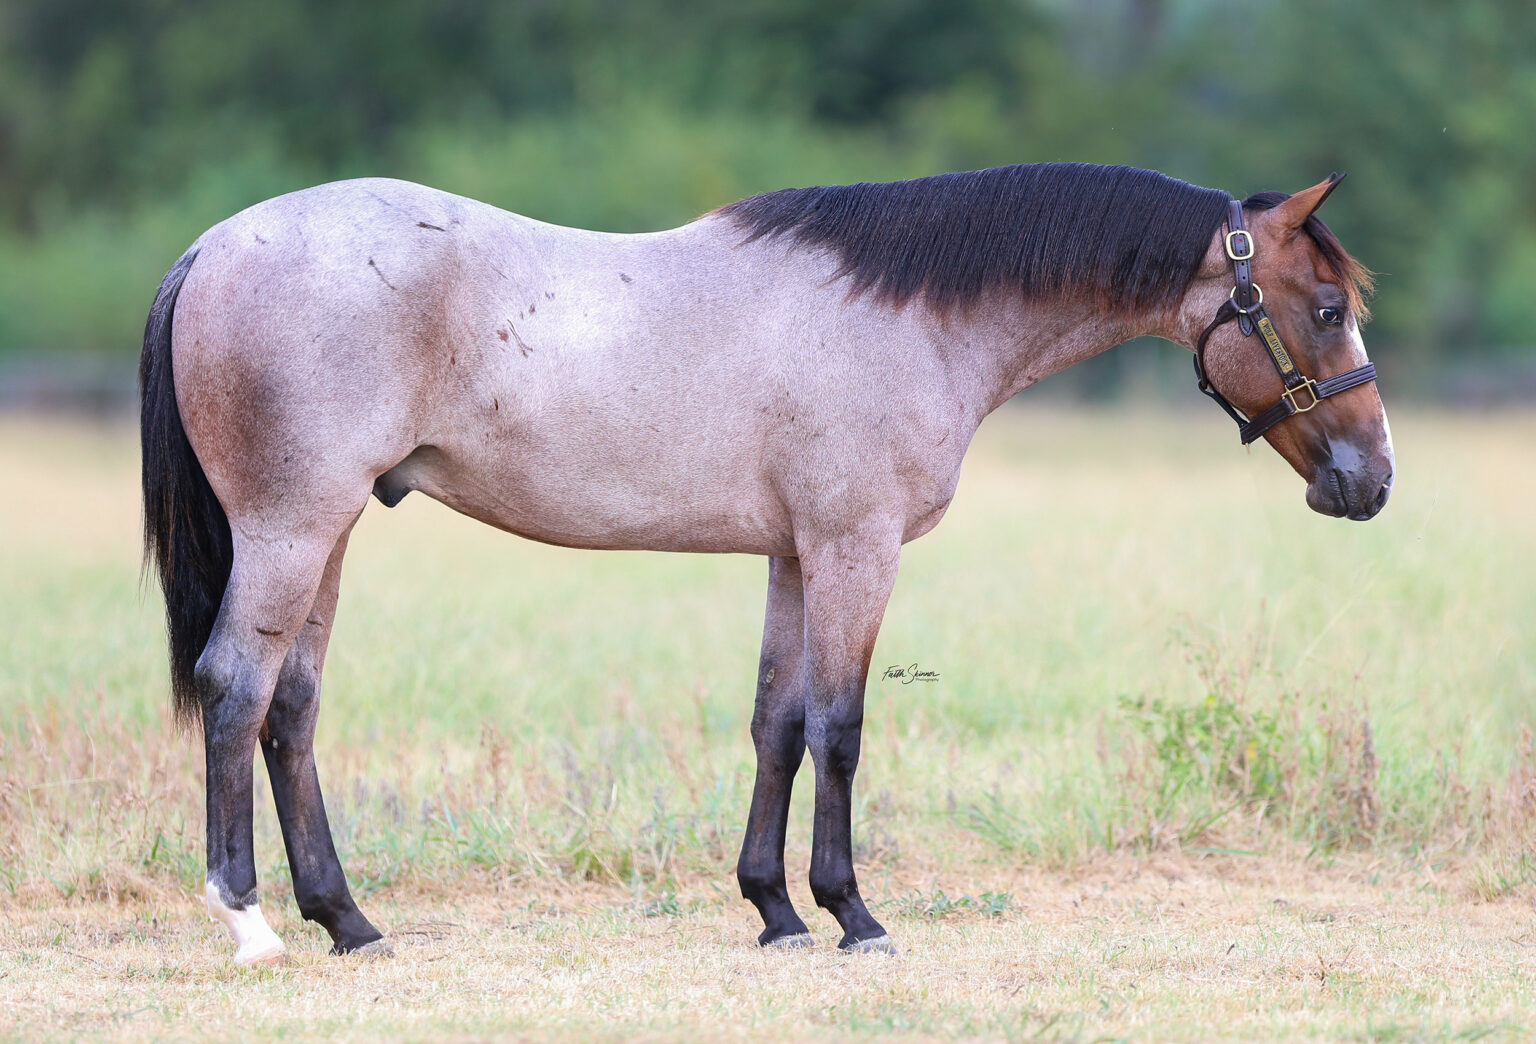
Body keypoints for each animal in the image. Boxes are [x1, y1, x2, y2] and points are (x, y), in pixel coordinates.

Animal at [139, 162, 1392, 966]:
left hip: (330, 534)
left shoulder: (795, 557)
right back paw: (250, 924)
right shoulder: (854, 550)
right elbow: (840, 727)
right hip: (292, 529)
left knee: (291, 709)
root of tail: (210, 246)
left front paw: (776, 911)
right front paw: (854, 916)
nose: (1371, 480)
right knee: (236, 690)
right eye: (1328, 307)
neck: (909, 316)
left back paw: (347, 922)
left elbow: (777, 724)